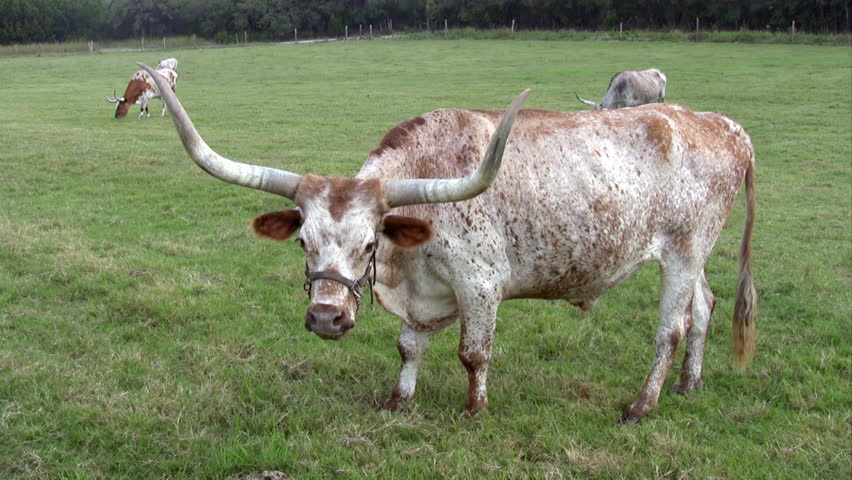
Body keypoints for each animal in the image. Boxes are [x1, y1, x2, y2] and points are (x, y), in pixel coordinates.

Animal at [139, 62, 756, 423]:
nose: (326, 319)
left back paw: (641, 404)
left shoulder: (480, 284)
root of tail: (724, 126)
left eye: (369, 244)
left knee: (671, 327)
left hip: (682, 251)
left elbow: (472, 352)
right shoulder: (423, 293)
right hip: (697, 253)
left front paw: (474, 411)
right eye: (303, 242)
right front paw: (398, 400)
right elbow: (409, 345)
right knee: (705, 308)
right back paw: (689, 385)